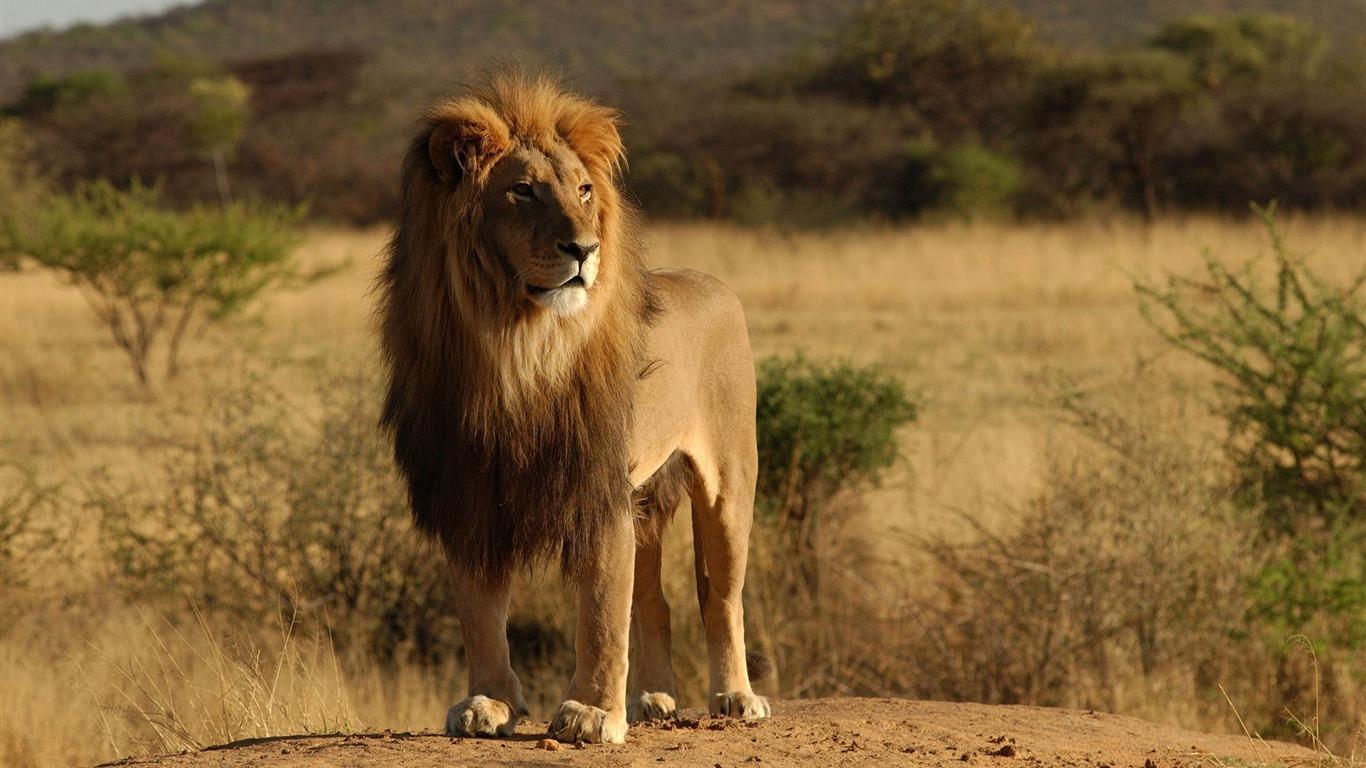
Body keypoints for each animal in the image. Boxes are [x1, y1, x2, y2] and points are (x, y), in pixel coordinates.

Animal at [376, 73, 769, 745]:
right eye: (523, 191)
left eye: (584, 191)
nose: (584, 248)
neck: (516, 346)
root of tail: (715, 283)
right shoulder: (469, 489)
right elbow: (479, 611)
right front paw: (488, 704)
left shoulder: (597, 487)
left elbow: (602, 613)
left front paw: (591, 713)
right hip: (647, 500)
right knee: (655, 602)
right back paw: (654, 700)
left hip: (728, 484)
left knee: (720, 597)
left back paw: (735, 697)